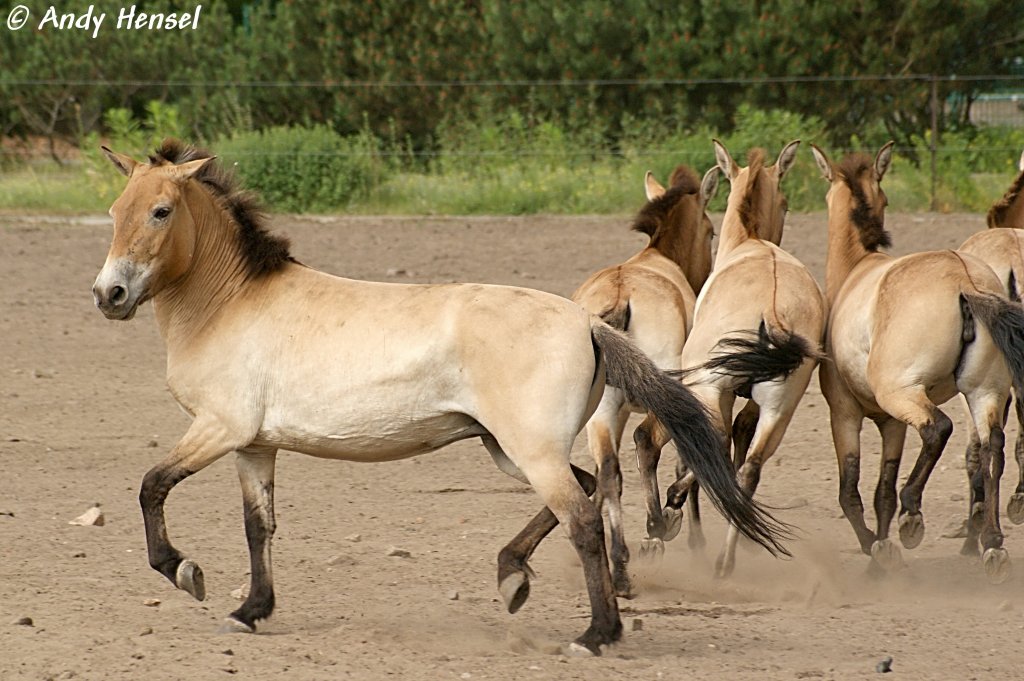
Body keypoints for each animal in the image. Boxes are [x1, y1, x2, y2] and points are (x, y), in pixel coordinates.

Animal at [569, 164, 719, 596]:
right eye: (711, 231)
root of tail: (621, 299)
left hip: (603, 411)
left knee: (610, 473)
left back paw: (619, 568)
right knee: (646, 442)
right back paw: (657, 524)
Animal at [633, 140, 825, 579]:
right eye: (785, 203)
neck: (750, 243)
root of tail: (772, 313)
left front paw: (672, 513)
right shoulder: (754, 403)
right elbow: (741, 439)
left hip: (708, 387)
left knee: (707, 441)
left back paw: (671, 514)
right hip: (781, 406)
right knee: (749, 468)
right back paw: (726, 559)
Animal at [810, 141, 1024, 582]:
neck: (856, 272)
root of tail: (965, 283)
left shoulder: (845, 413)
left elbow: (851, 492)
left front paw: (876, 549)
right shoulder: (891, 424)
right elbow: (881, 492)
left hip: (905, 395)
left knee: (939, 429)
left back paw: (914, 516)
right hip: (984, 394)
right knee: (991, 447)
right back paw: (993, 543)